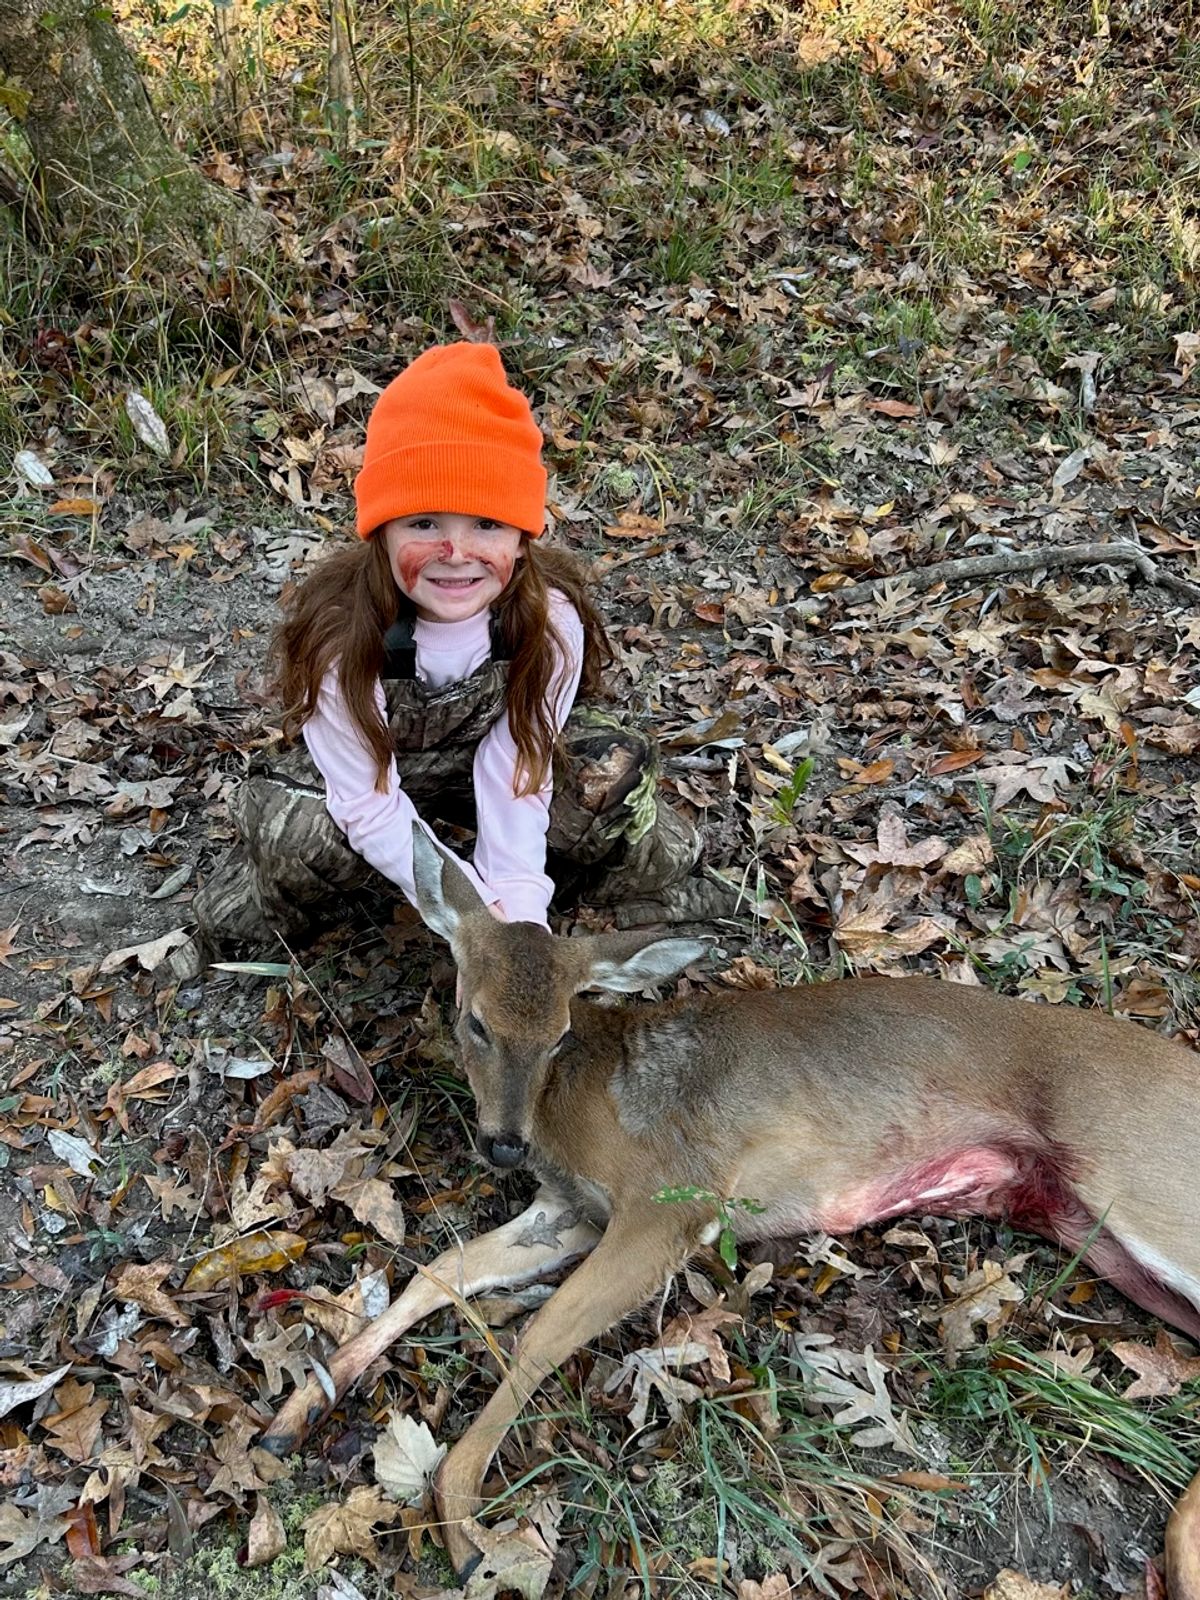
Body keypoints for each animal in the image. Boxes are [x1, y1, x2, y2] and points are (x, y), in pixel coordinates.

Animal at [260, 825, 1200, 1593]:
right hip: (1092, 1230)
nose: (503, 1148)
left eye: (559, 1033)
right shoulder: (576, 1210)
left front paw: (463, 1529)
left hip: (1140, 1183)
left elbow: (538, 1335)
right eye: (474, 1021)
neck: (579, 1111)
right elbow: (444, 1270)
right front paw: (301, 1409)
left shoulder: (672, 1199)